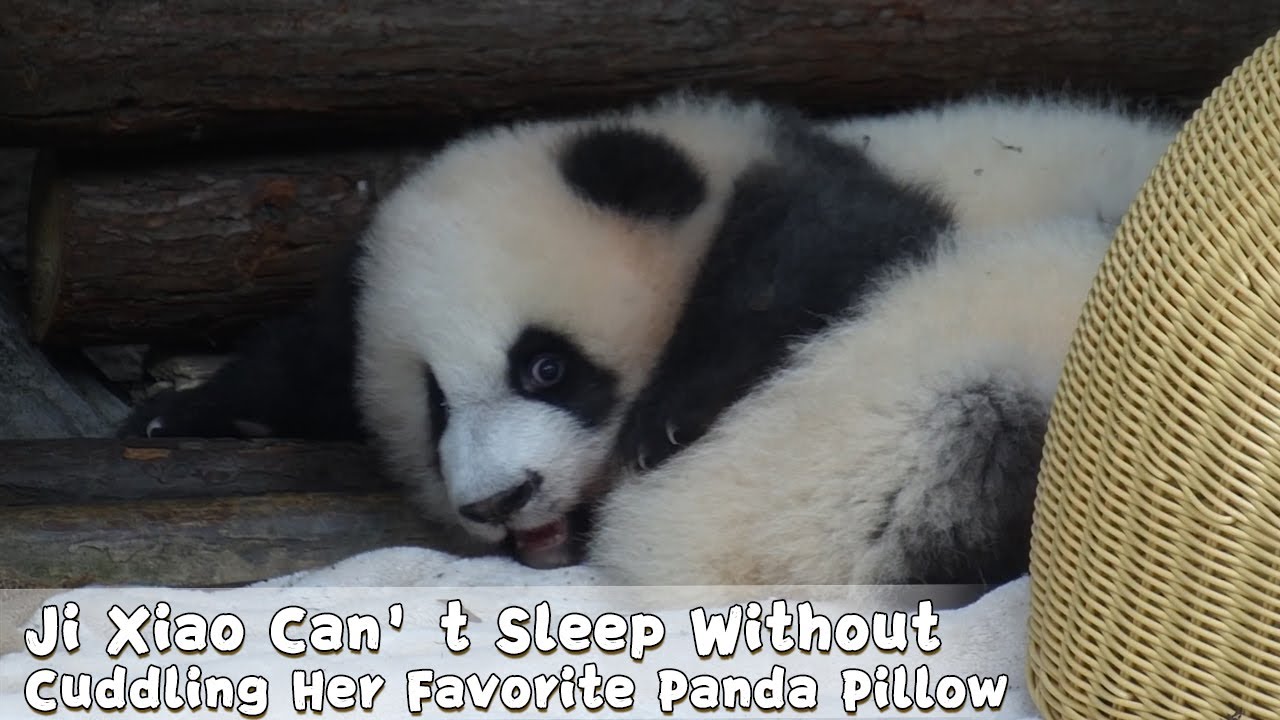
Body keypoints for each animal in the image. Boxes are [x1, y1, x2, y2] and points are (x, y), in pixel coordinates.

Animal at [124, 93, 1179, 585]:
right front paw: (187, 412)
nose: (499, 501)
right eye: (433, 408)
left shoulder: (838, 204)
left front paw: (668, 417)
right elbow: (307, 355)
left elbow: (808, 262)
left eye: (546, 366)